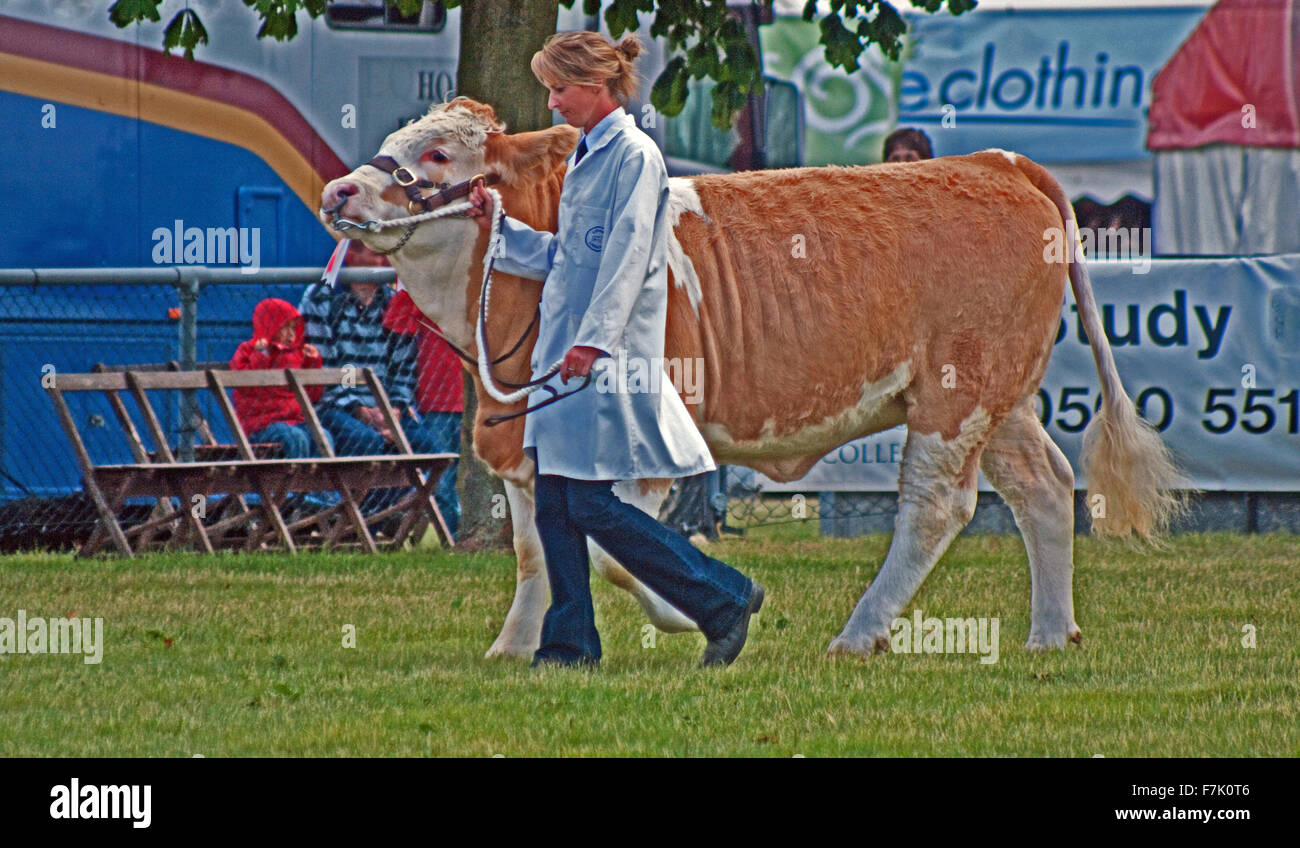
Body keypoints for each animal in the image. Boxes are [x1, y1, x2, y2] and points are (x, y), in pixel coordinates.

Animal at [320, 97, 1184, 659]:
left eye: (437, 154)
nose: (339, 190)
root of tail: (995, 162)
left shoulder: (638, 448)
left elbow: (613, 550)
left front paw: (696, 614)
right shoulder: (523, 446)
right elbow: (541, 551)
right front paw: (517, 646)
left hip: (957, 394)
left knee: (938, 507)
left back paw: (858, 635)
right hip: (1000, 400)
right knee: (1045, 487)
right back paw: (1050, 634)